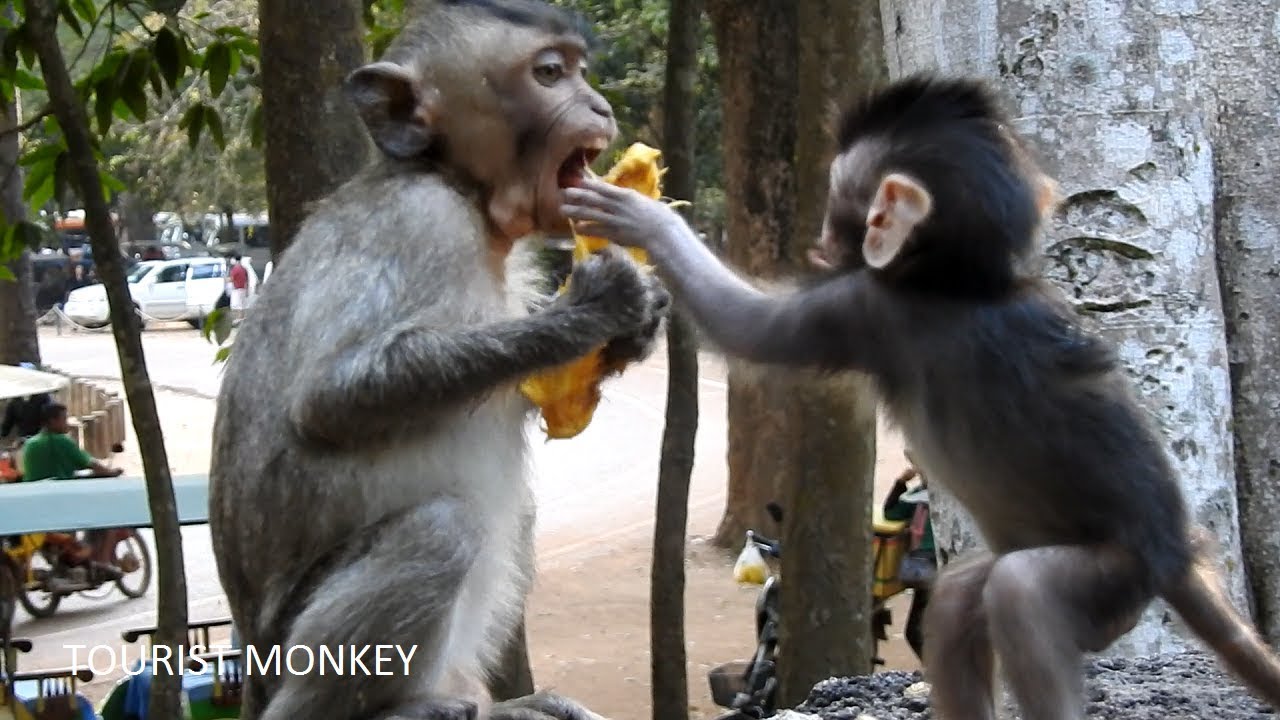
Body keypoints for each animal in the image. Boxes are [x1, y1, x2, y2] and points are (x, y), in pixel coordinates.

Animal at [208, 2, 668, 720]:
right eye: (549, 74)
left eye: (581, 71)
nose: (599, 105)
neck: (465, 194)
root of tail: (254, 677)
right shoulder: (417, 221)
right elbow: (330, 396)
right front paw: (598, 310)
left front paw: (632, 334)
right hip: (291, 652)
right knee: (443, 529)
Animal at [559, 74, 1280, 720]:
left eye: (838, 200)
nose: (821, 240)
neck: (951, 281)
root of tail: (1177, 549)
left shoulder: (866, 306)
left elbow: (747, 328)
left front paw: (641, 218)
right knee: (963, 596)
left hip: (1118, 576)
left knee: (1023, 592)